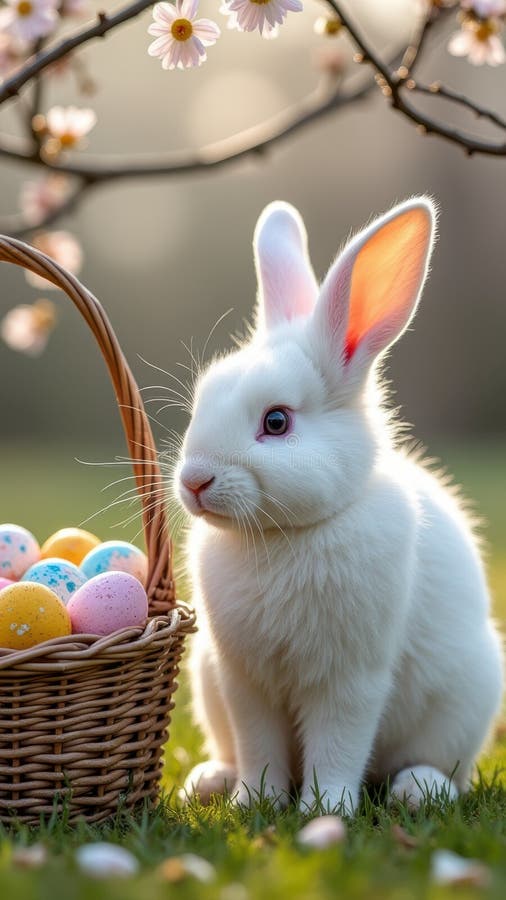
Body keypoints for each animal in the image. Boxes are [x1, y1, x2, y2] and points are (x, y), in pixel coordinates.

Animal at [175, 198, 503, 814]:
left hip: (467, 700)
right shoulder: (243, 680)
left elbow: (336, 748)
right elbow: (259, 748)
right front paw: (254, 804)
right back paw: (208, 782)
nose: (194, 481)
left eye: (276, 421)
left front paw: (323, 811)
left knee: (441, 768)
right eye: (203, 401)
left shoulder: (349, 679)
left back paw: (418, 791)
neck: (284, 534)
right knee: (232, 751)